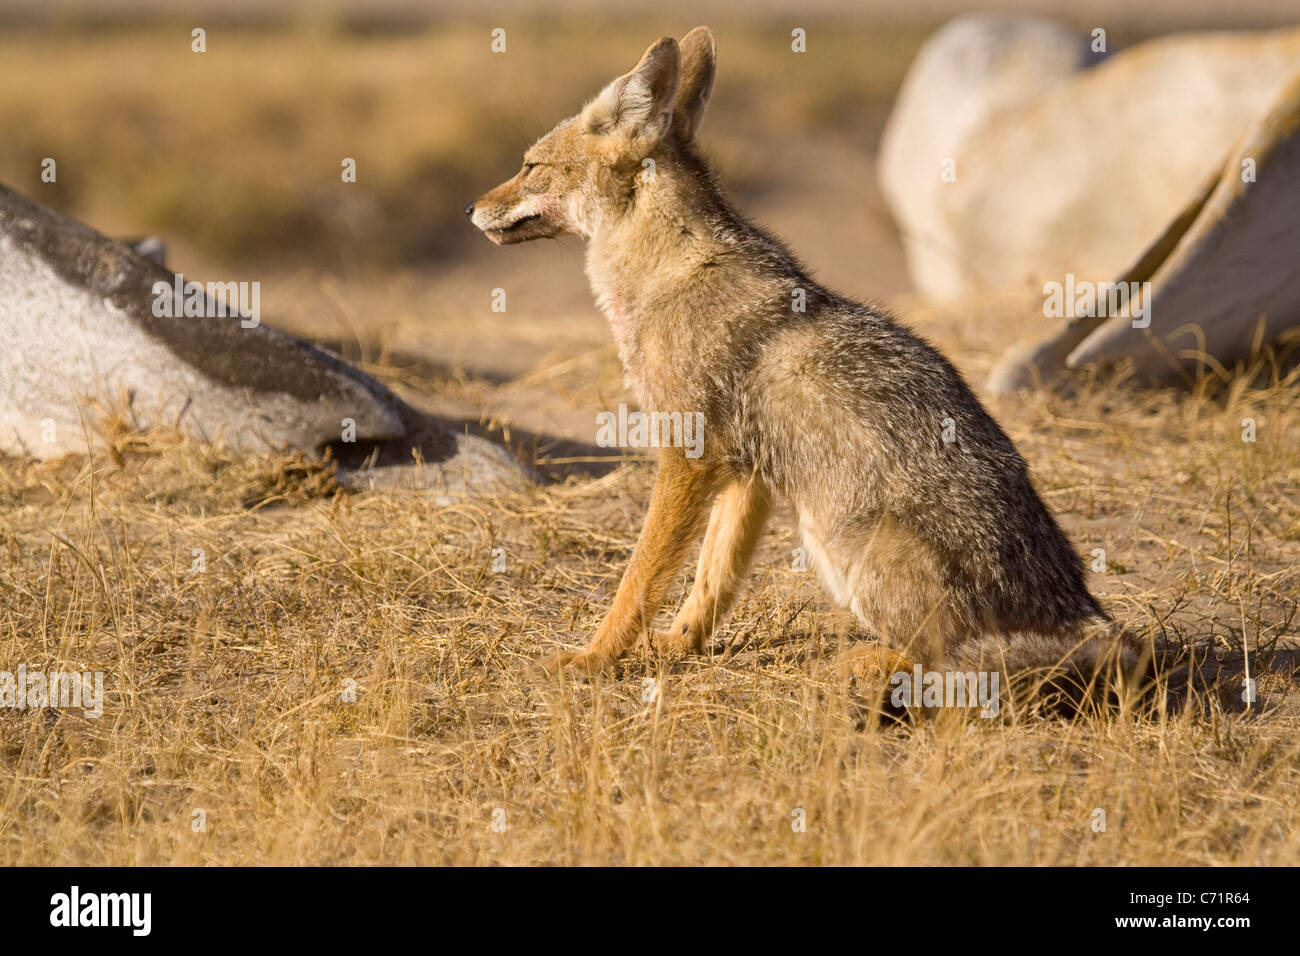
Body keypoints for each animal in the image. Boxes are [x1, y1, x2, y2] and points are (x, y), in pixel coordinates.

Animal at [467, 27, 1147, 714]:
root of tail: (1081, 614)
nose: (471, 208)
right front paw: (679, 644)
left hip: (841, 543)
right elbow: (713, 576)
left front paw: (595, 657)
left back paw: (870, 667)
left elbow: (638, 579)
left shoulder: (690, 456)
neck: (664, 275)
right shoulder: (747, 473)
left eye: (529, 167)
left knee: (953, 665)